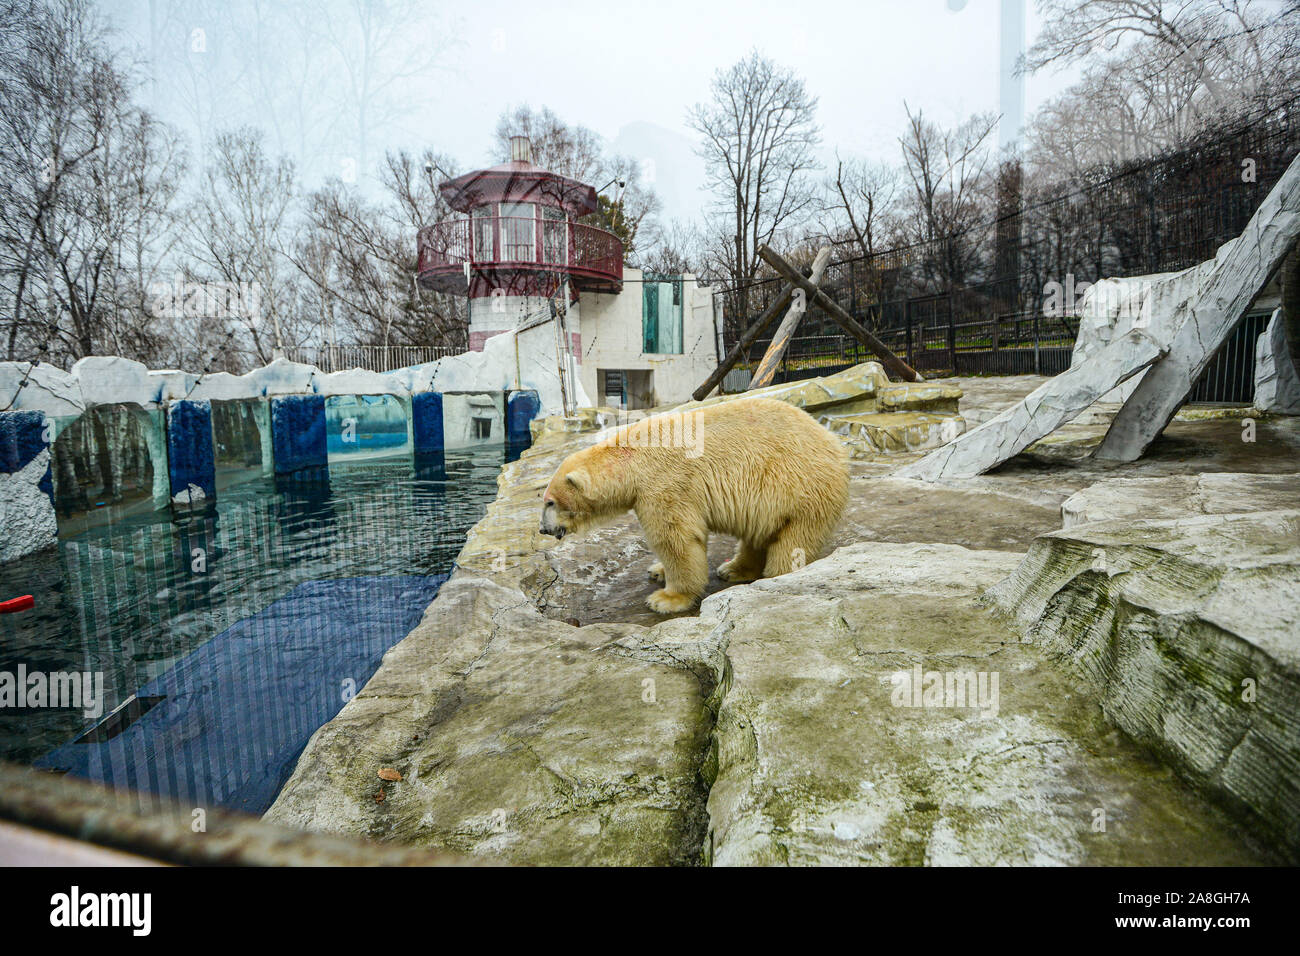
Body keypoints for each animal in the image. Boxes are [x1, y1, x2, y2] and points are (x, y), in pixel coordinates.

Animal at [538, 396, 849, 614]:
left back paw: (772, 577)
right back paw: (733, 569)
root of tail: (835, 444)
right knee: (757, 533)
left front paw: (666, 598)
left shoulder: (664, 485)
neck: (632, 458)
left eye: (550, 502)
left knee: (792, 542)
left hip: (800, 489)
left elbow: (676, 538)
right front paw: (657, 571)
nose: (542, 529)